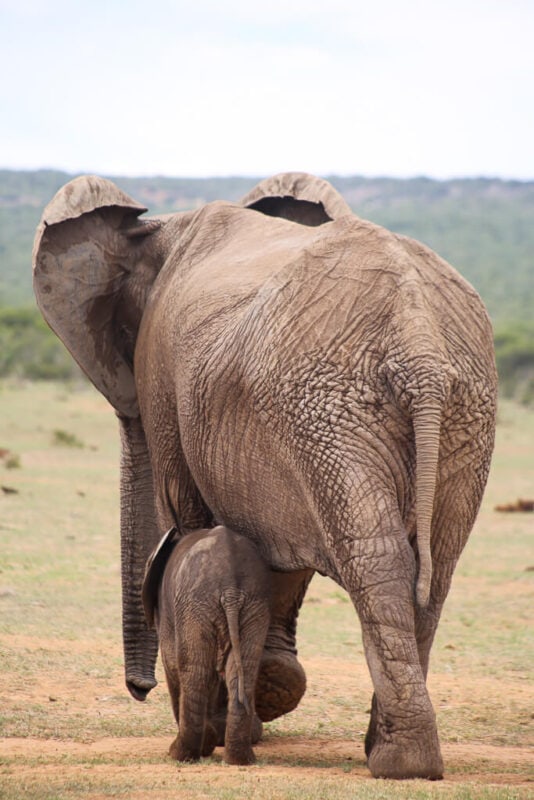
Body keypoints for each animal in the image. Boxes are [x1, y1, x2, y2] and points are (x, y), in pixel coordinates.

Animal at [142, 524, 271, 764]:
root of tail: (231, 591)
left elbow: (172, 664)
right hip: (253, 606)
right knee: (243, 674)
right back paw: (239, 759)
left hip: (195, 605)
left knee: (195, 672)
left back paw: (182, 754)